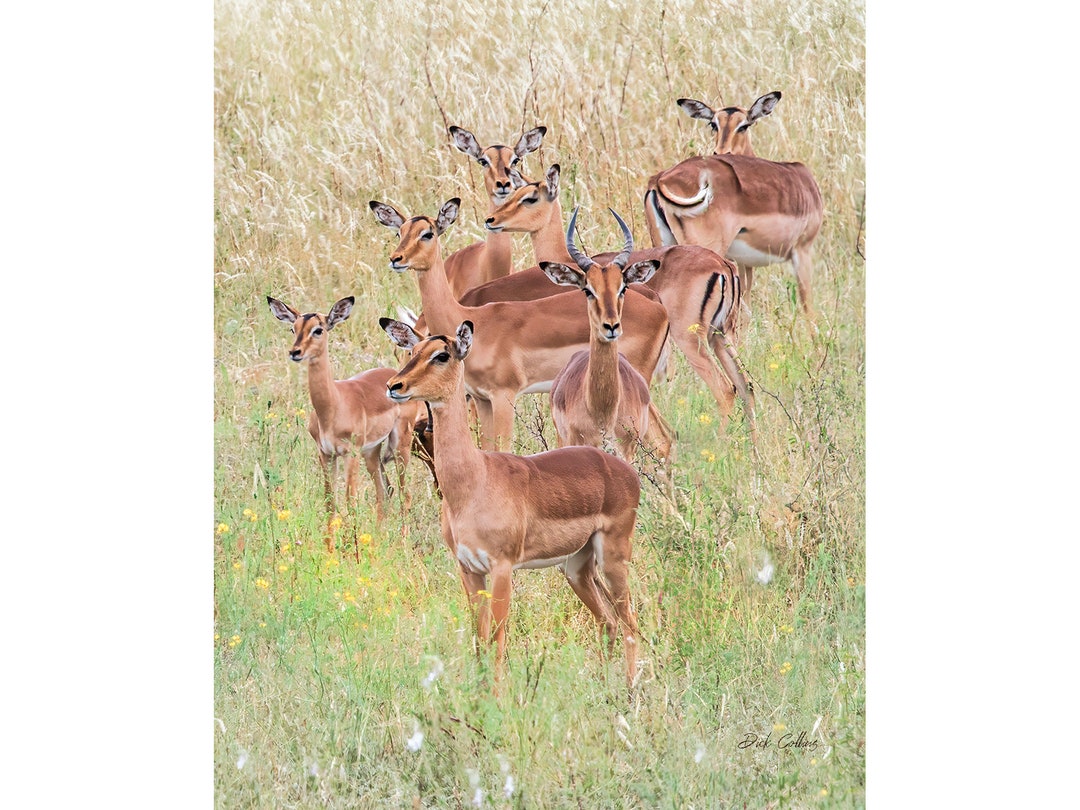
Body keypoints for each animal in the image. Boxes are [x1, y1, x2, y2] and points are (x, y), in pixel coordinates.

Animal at [266, 295, 422, 550]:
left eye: (318, 329)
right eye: (293, 328)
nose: (295, 352)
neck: (333, 406)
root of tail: (394, 375)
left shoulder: (350, 454)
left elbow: (350, 501)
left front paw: (351, 551)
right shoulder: (326, 454)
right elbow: (330, 502)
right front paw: (331, 552)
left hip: (400, 446)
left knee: (404, 494)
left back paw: (402, 544)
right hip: (372, 452)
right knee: (383, 492)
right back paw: (377, 541)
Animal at [381, 318, 643, 687]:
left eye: (442, 355)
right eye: (413, 350)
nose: (395, 385)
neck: (473, 483)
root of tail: (623, 471)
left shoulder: (502, 568)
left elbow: (497, 640)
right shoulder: (469, 570)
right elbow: (479, 638)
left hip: (613, 558)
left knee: (630, 620)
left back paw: (630, 692)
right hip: (577, 567)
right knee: (608, 619)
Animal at [475, 164, 756, 436]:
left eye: (530, 198)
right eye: (513, 193)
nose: (491, 220)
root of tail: (722, 265)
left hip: (690, 339)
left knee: (724, 390)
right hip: (720, 336)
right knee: (746, 387)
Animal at [642, 91, 823, 319]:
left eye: (744, 125)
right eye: (713, 124)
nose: (722, 151)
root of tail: (660, 179)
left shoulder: (745, 262)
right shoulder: (802, 250)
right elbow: (808, 307)